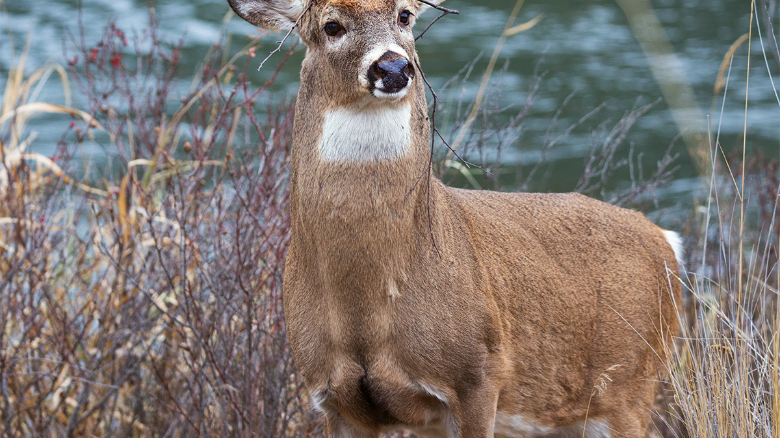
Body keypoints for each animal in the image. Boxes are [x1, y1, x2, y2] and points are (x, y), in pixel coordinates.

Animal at [227, 0, 683, 436]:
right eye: (331, 25)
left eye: (405, 15)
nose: (393, 66)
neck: (365, 309)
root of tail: (665, 240)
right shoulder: (332, 397)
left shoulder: (478, 374)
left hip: (631, 387)